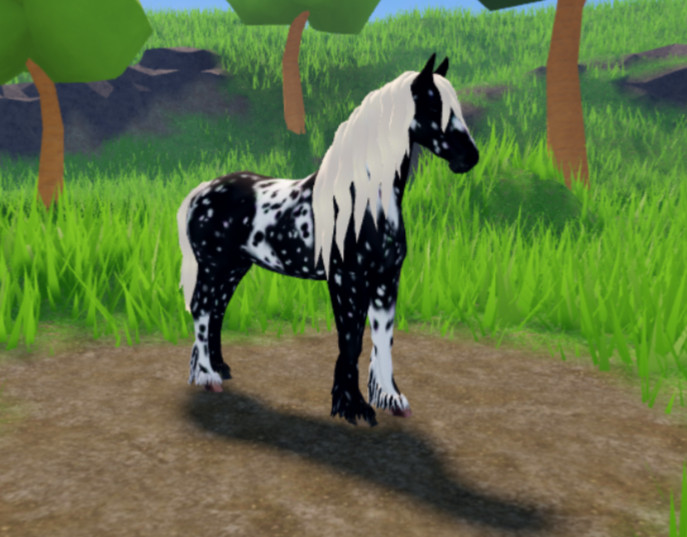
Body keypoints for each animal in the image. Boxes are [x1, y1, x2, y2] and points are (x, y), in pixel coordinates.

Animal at [177, 53, 479, 427]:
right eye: (433, 106)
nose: (469, 157)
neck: (365, 204)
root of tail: (202, 191)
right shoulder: (346, 280)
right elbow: (351, 342)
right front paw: (353, 407)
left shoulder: (386, 279)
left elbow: (383, 337)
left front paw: (391, 399)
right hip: (213, 265)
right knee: (203, 310)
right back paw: (208, 377)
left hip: (234, 268)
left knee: (216, 311)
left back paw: (220, 369)